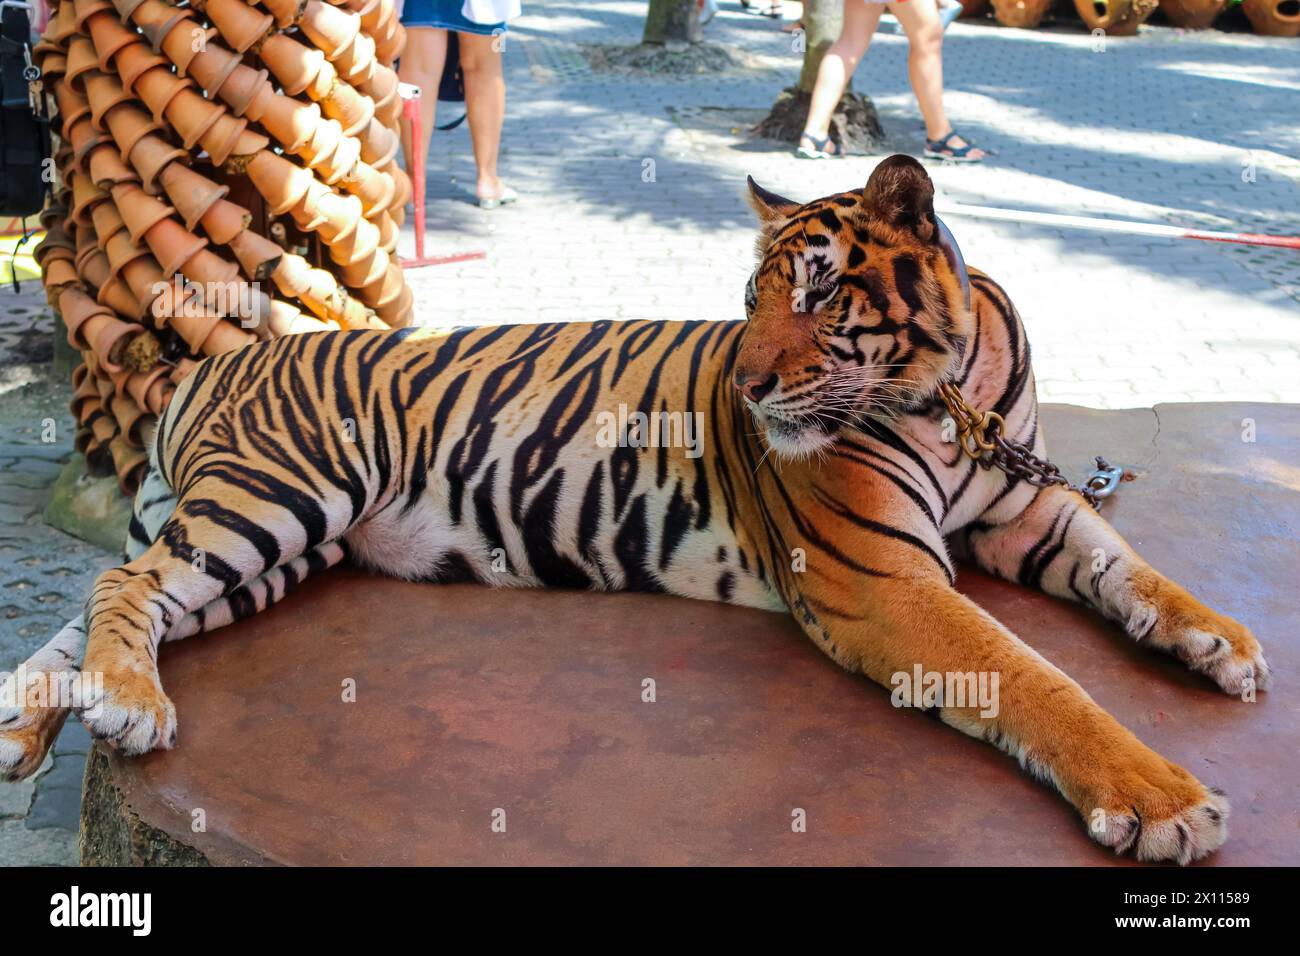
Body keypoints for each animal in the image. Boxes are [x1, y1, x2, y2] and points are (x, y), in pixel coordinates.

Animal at [0, 155, 1268, 864]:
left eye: (818, 293)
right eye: (749, 297)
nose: (748, 389)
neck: (950, 386)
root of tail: (214, 361)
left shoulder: (1024, 510)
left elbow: (1128, 566)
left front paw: (1221, 638)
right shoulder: (883, 578)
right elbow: (1036, 677)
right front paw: (1161, 797)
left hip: (269, 546)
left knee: (102, 603)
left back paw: (29, 723)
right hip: (281, 495)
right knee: (118, 581)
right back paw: (126, 704)